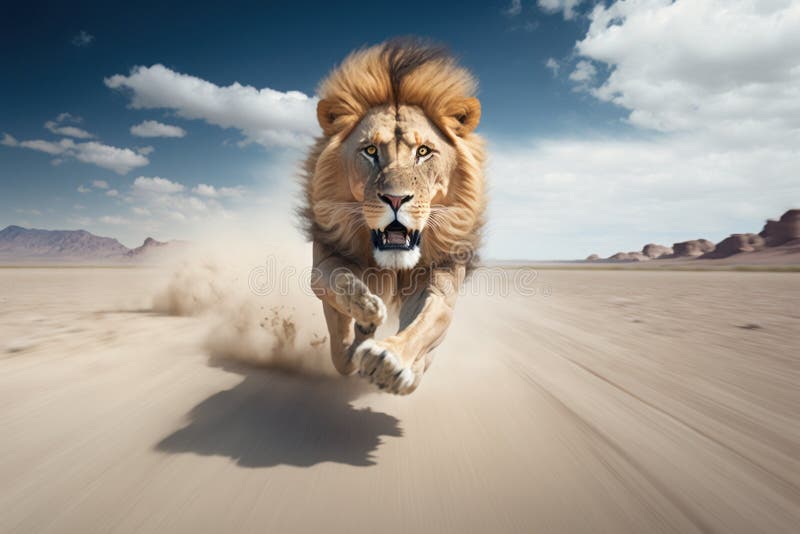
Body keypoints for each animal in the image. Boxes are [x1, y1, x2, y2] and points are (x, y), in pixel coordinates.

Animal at [300, 39, 486, 395]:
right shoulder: (325, 259)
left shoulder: (439, 278)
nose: (396, 199)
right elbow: (337, 289)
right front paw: (365, 312)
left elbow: (427, 320)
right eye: (371, 151)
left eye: (423, 152)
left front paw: (389, 362)